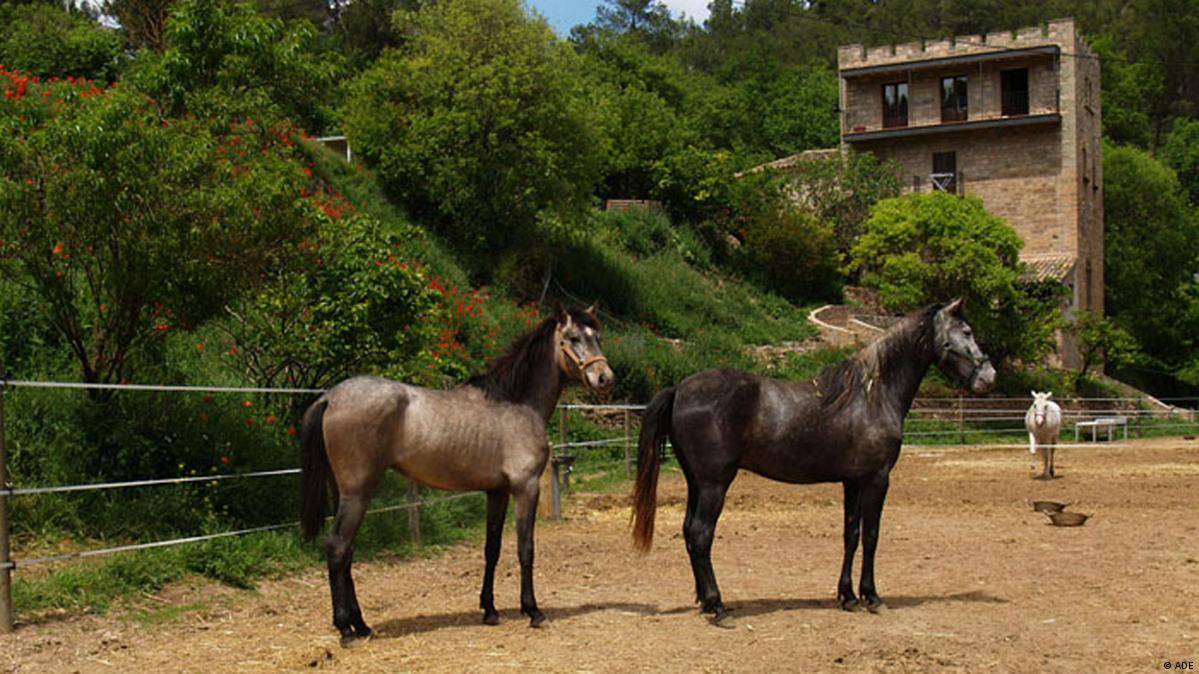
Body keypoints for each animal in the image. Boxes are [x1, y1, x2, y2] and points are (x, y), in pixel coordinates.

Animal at [300, 305, 614, 646]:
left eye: (597, 336)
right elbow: (525, 548)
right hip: (358, 493)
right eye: (574, 338)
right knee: (338, 548)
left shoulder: (497, 492)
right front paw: (533, 611)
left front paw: (489, 610)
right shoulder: (526, 488)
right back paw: (346, 629)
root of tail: (329, 397)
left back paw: (362, 625)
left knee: (347, 553)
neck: (517, 404)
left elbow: (492, 549)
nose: (605, 377)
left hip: (345, 493)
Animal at [631, 299, 995, 626]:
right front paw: (872, 597)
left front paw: (848, 597)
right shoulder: (877, 479)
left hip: (697, 483)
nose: (989, 376)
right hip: (714, 485)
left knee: (689, 533)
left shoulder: (853, 482)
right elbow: (872, 535)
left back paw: (706, 602)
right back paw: (718, 607)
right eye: (967, 331)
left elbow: (851, 534)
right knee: (701, 534)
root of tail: (679, 389)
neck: (872, 395)